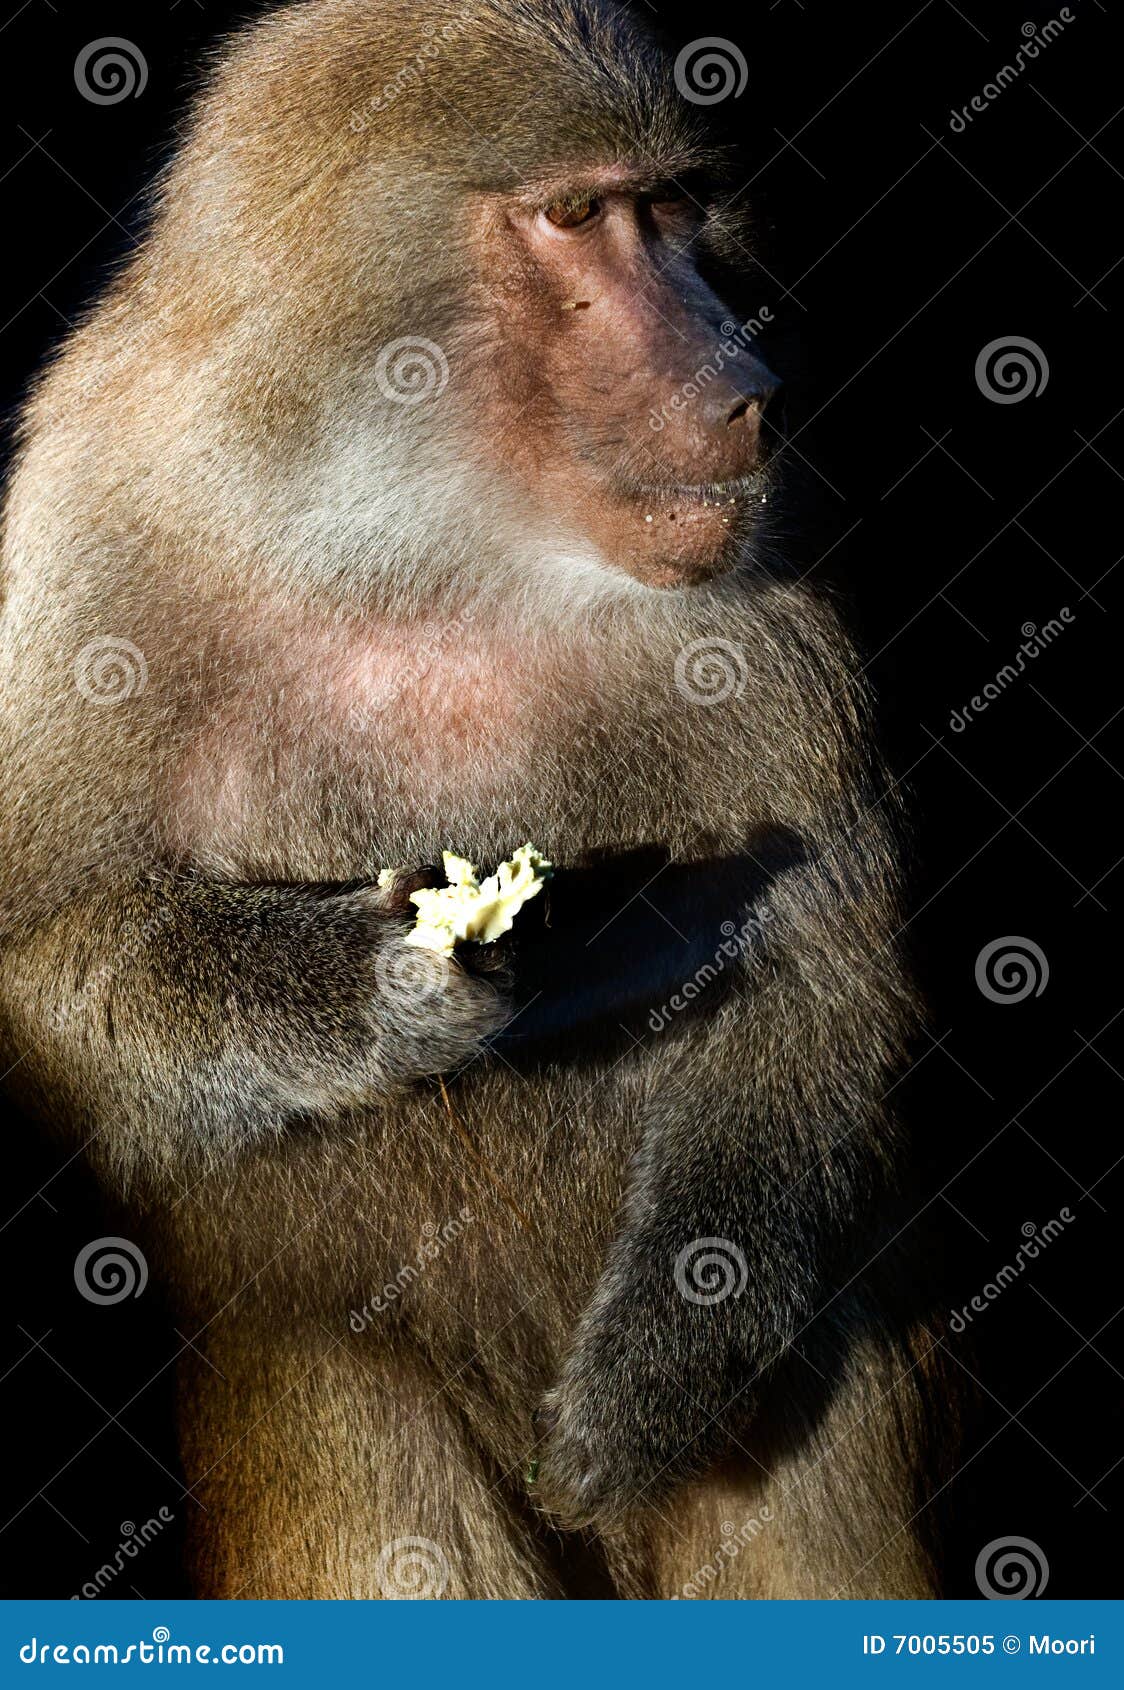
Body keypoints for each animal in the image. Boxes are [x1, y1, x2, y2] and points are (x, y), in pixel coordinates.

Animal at [0, 0, 954, 1599]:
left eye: (672, 206)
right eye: (575, 217)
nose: (744, 384)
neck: (411, 532)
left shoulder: (757, 562)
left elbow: (816, 962)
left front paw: (666, 1361)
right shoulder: (80, 536)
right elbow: (33, 972)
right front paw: (369, 987)